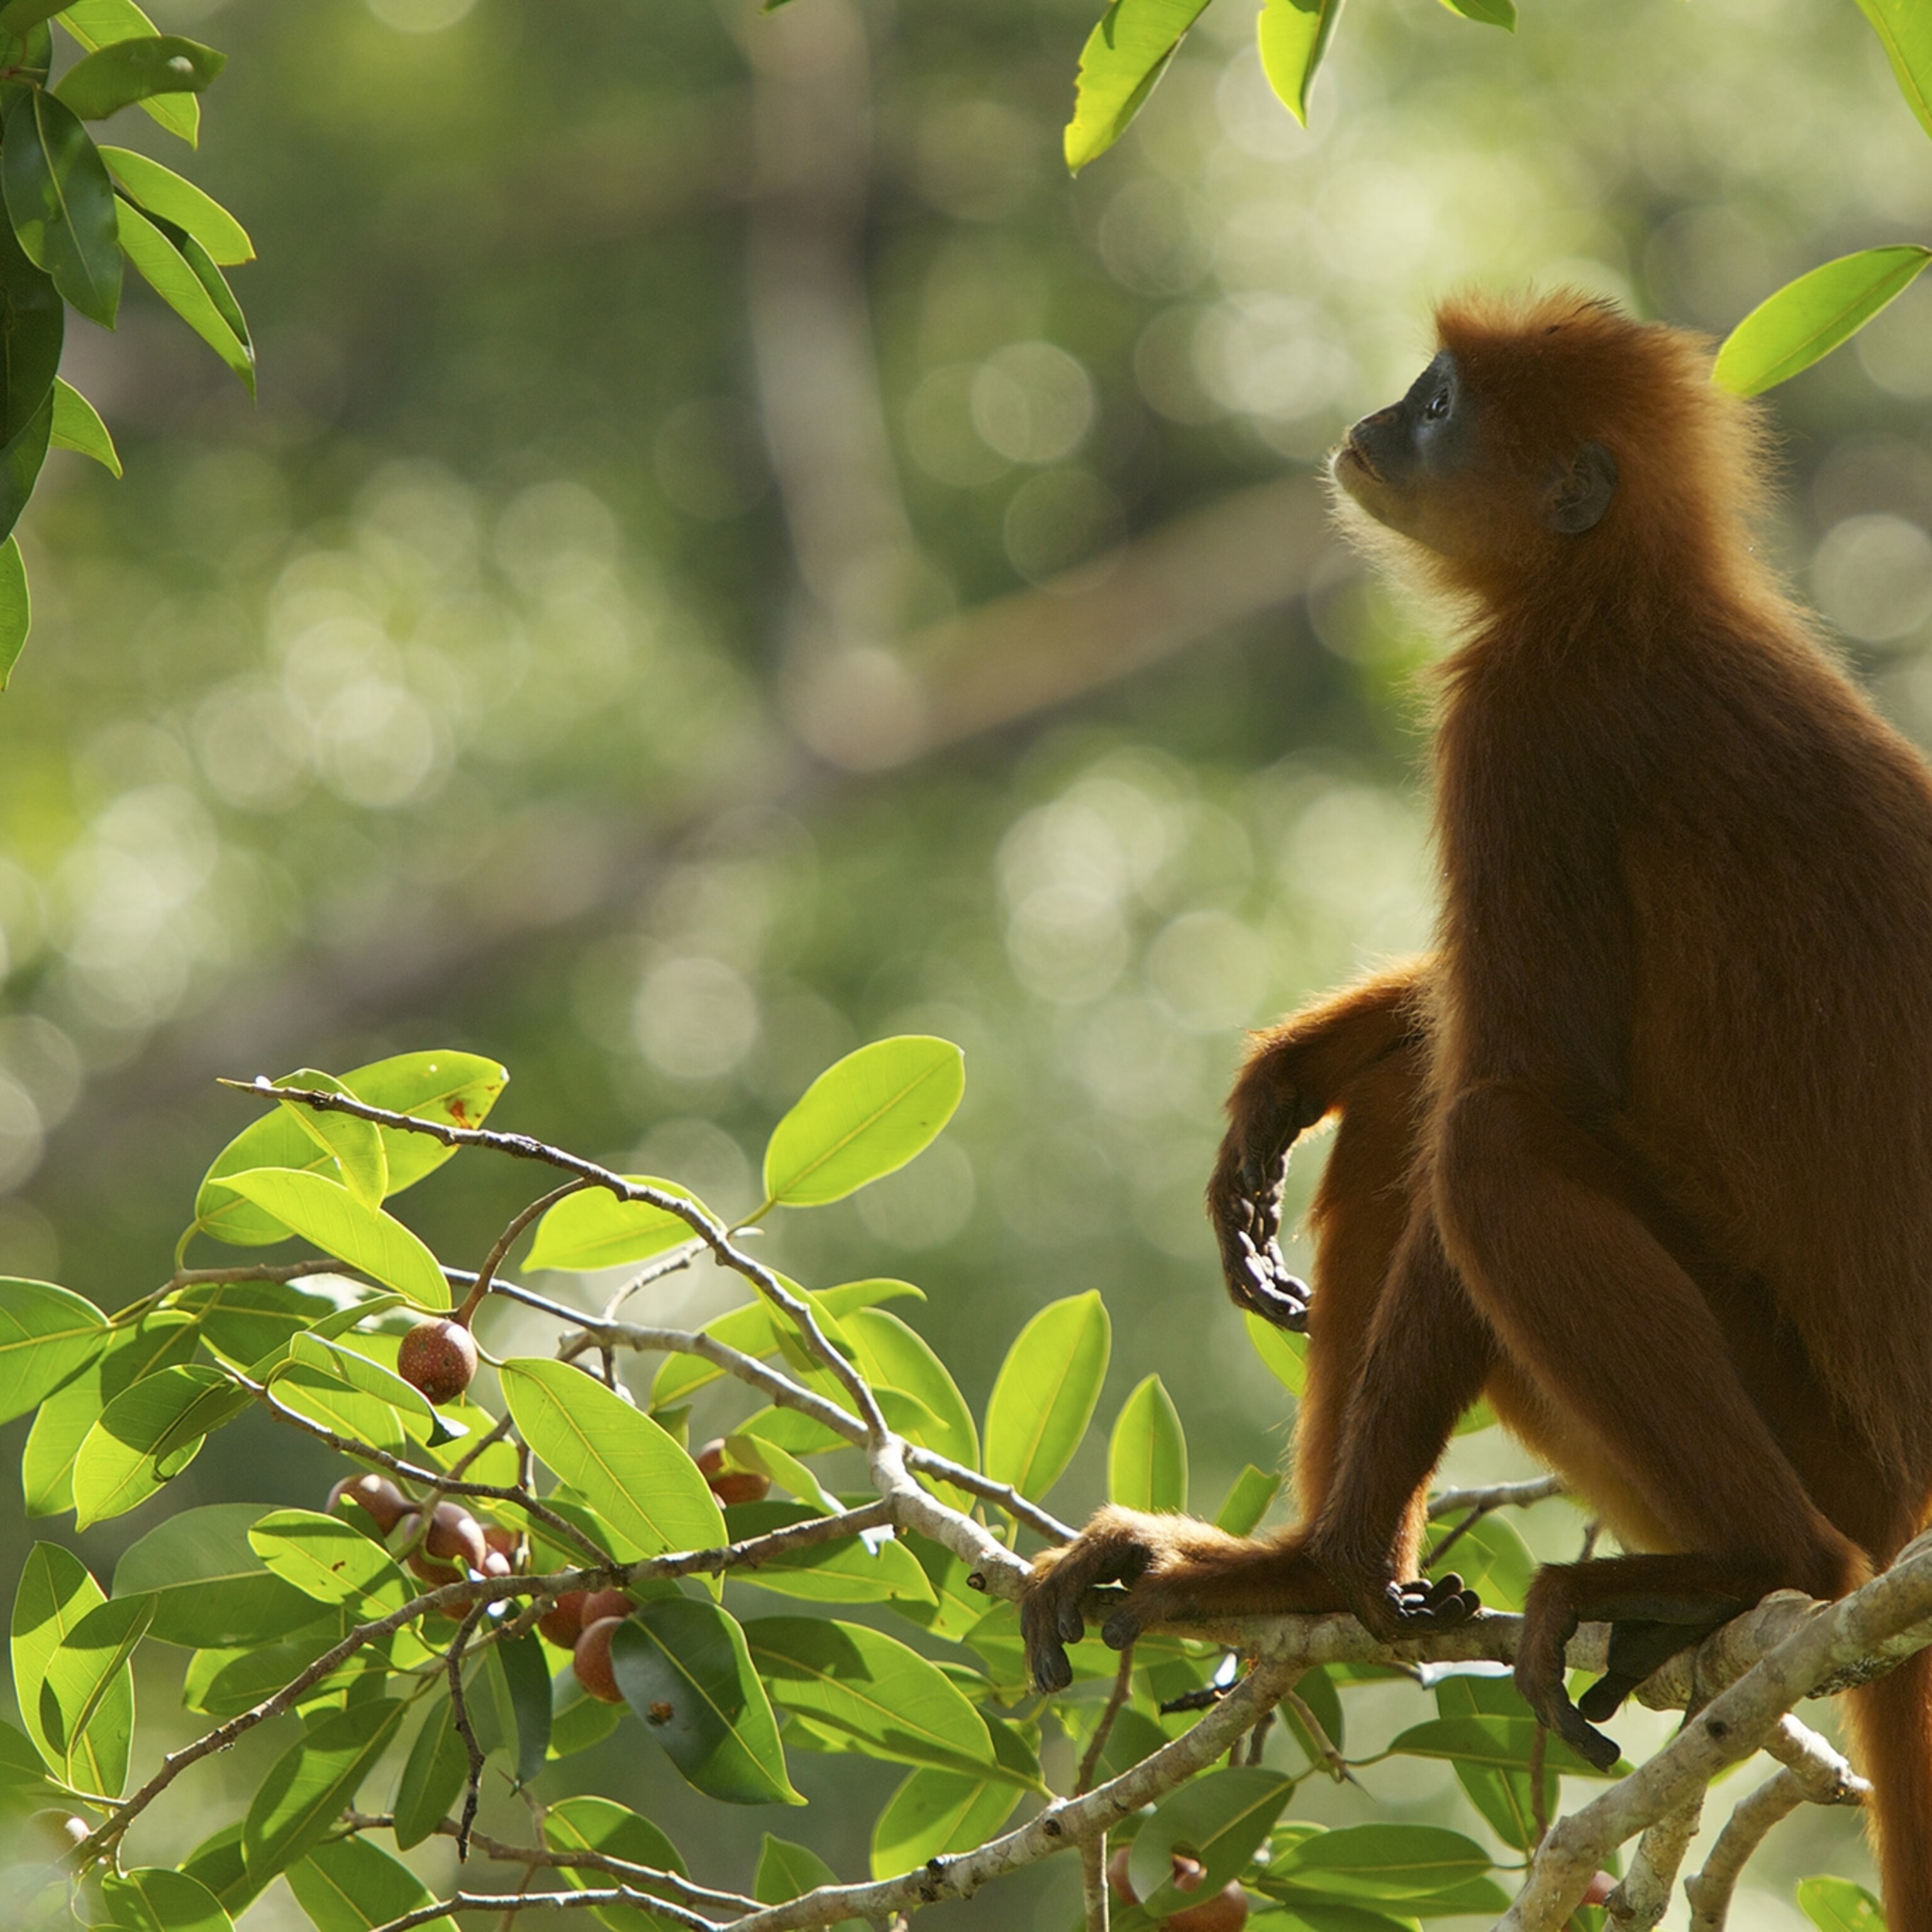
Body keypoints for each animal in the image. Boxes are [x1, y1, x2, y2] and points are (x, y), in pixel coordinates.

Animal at [1021, 292, 1932, 1924]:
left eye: (1438, 403)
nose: (1374, 425)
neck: (1622, 603)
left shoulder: (1526, 725)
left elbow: (1522, 1077)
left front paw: (1316, 1578)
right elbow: (1446, 1059)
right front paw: (1300, 1063)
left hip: (1826, 1446)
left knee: (1488, 1146)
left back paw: (1734, 1560)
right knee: (1418, 1121)